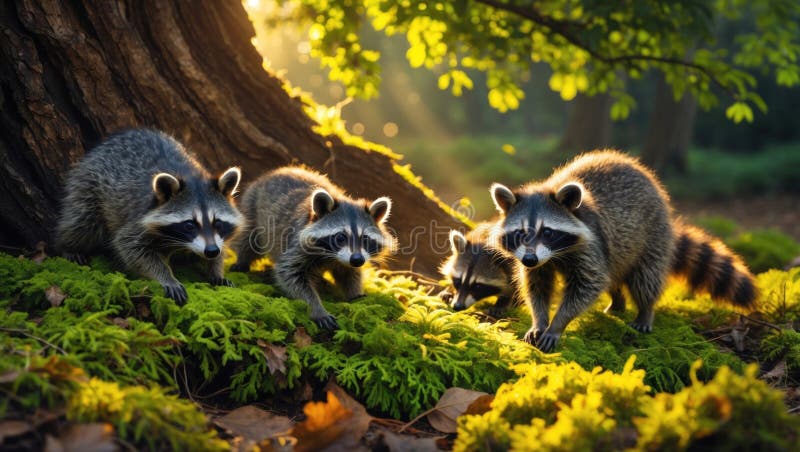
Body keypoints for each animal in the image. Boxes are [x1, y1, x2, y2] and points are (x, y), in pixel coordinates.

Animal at [56, 129, 243, 303]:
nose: (211, 251)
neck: (191, 177)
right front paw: (166, 276)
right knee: (82, 222)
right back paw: (69, 245)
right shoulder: (139, 219)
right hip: (88, 186)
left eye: (218, 223)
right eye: (189, 225)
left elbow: (220, 246)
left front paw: (216, 270)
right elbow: (130, 246)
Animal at [231, 167, 394, 330]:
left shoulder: (348, 259)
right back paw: (242, 260)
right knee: (248, 237)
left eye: (365, 239)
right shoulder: (297, 244)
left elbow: (350, 274)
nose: (357, 260)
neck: (332, 256)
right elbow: (290, 274)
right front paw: (316, 308)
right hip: (252, 205)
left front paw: (354, 293)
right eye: (341, 237)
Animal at [489, 150, 756, 352]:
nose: (530, 259)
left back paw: (645, 311)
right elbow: (537, 286)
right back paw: (617, 301)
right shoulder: (538, 261)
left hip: (653, 234)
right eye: (520, 233)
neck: (556, 254)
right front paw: (540, 320)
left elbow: (588, 284)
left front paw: (558, 323)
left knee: (645, 278)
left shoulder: (591, 244)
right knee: (613, 276)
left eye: (547, 231)